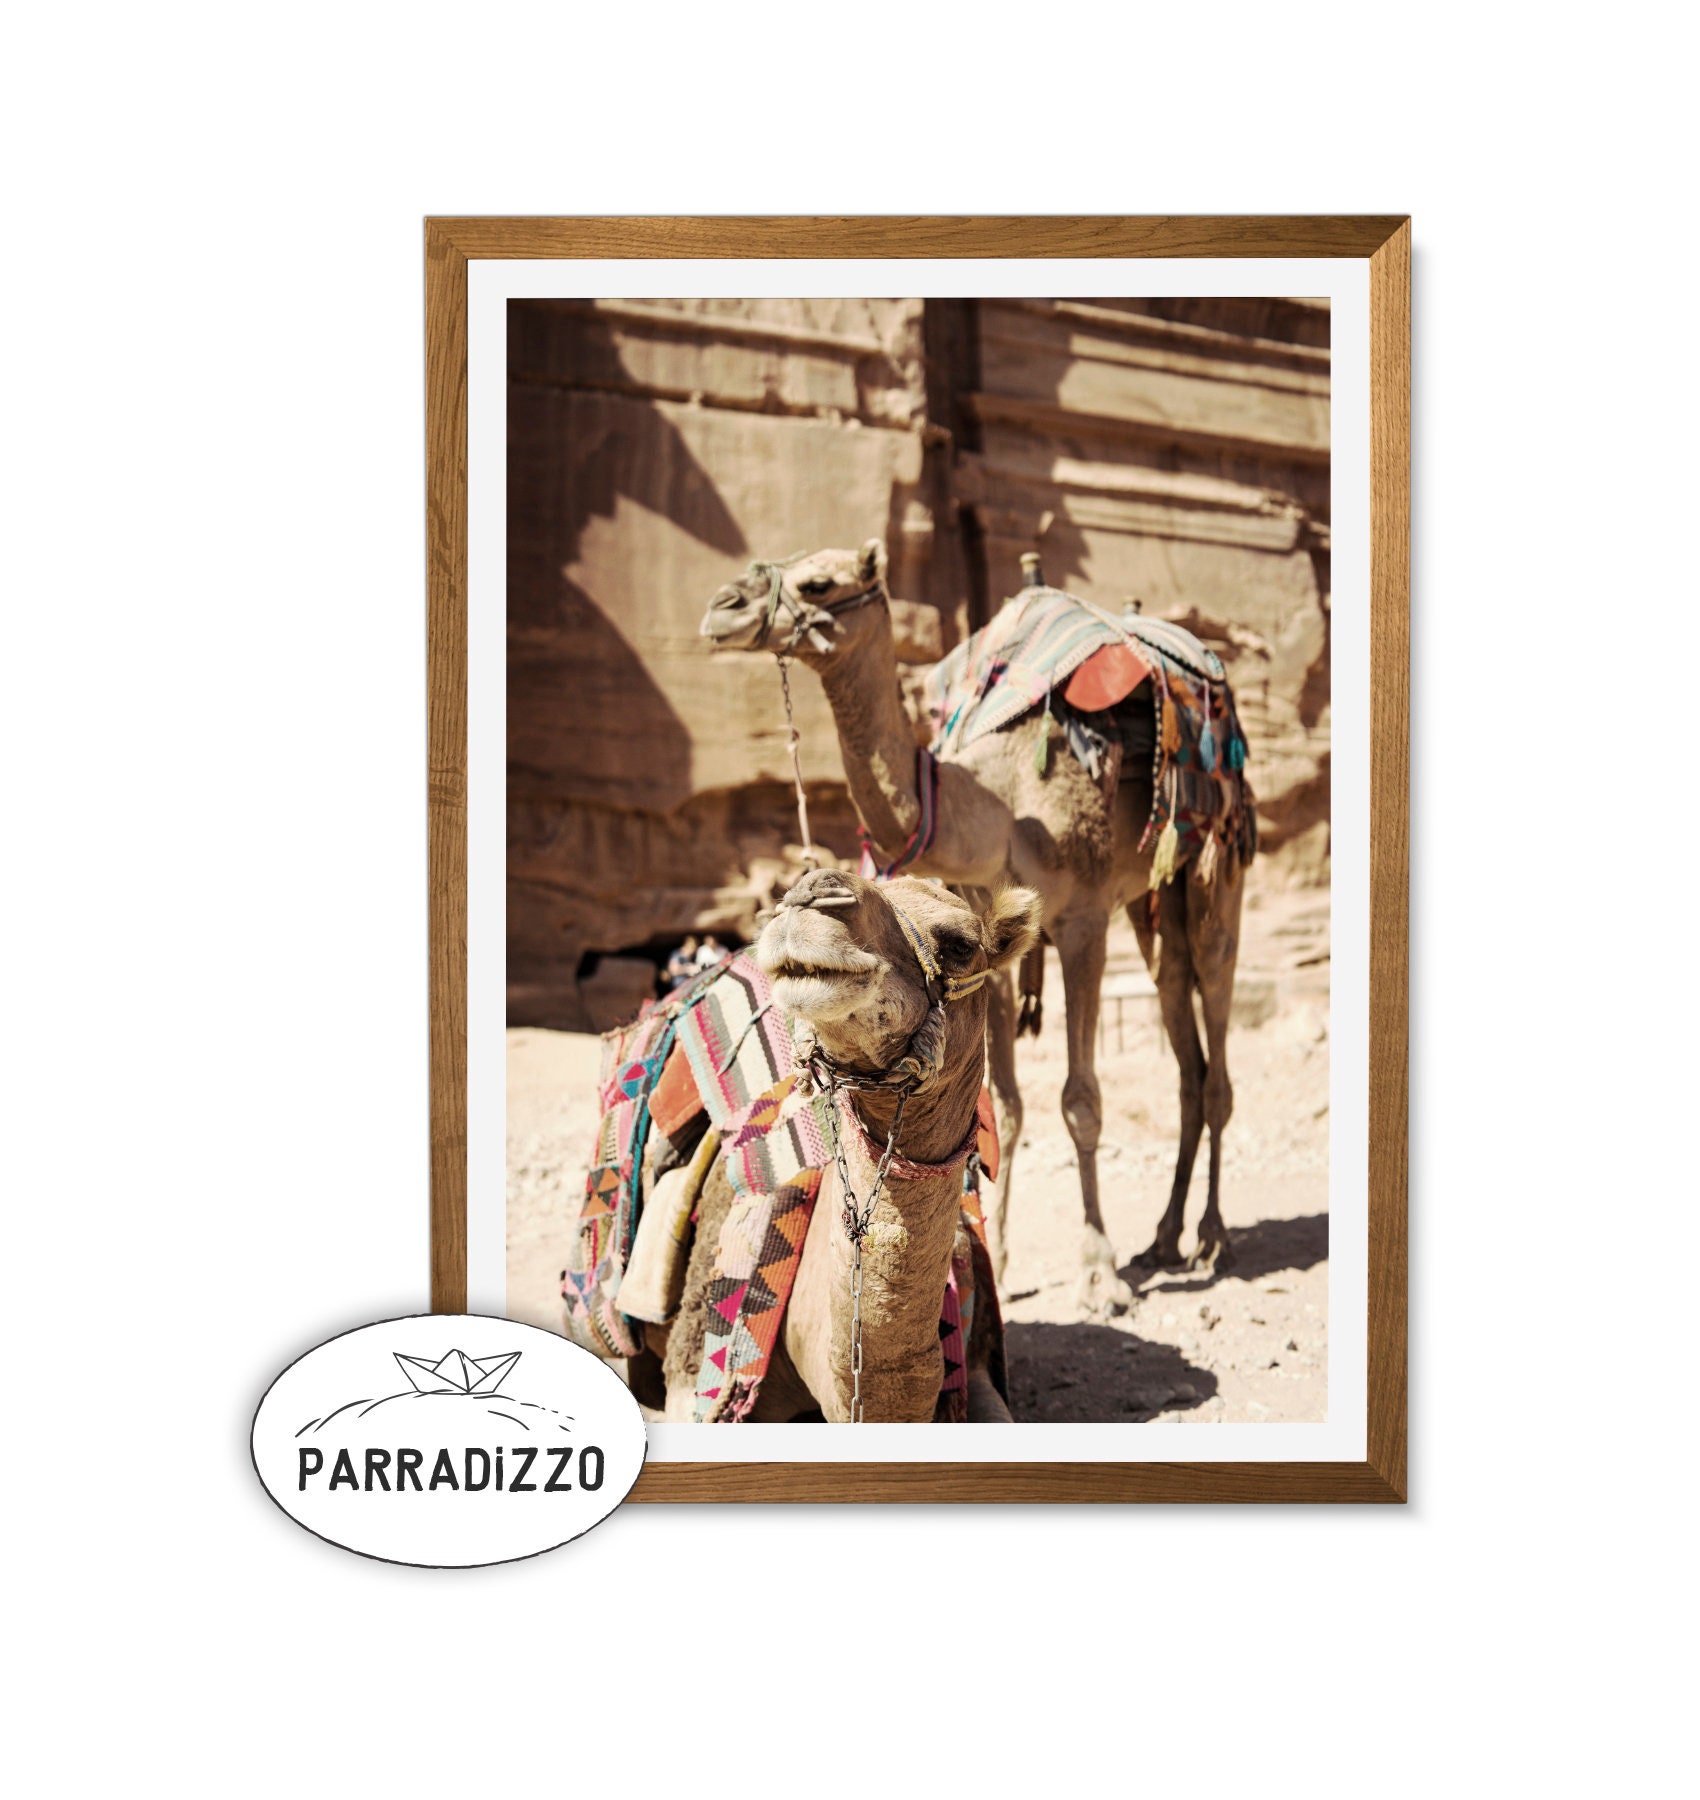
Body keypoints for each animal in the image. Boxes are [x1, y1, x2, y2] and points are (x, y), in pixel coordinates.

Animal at [701, 541, 1252, 1313]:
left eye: (820, 582)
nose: (723, 608)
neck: (999, 806)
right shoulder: (991, 948)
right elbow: (1010, 1105)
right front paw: (1009, 1264)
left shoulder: (1081, 919)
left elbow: (1080, 1101)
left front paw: (1098, 1274)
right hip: (1154, 901)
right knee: (1181, 1028)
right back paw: (1165, 1235)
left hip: (1213, 867)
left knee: (1215, 1007)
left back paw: (1210, 1236)